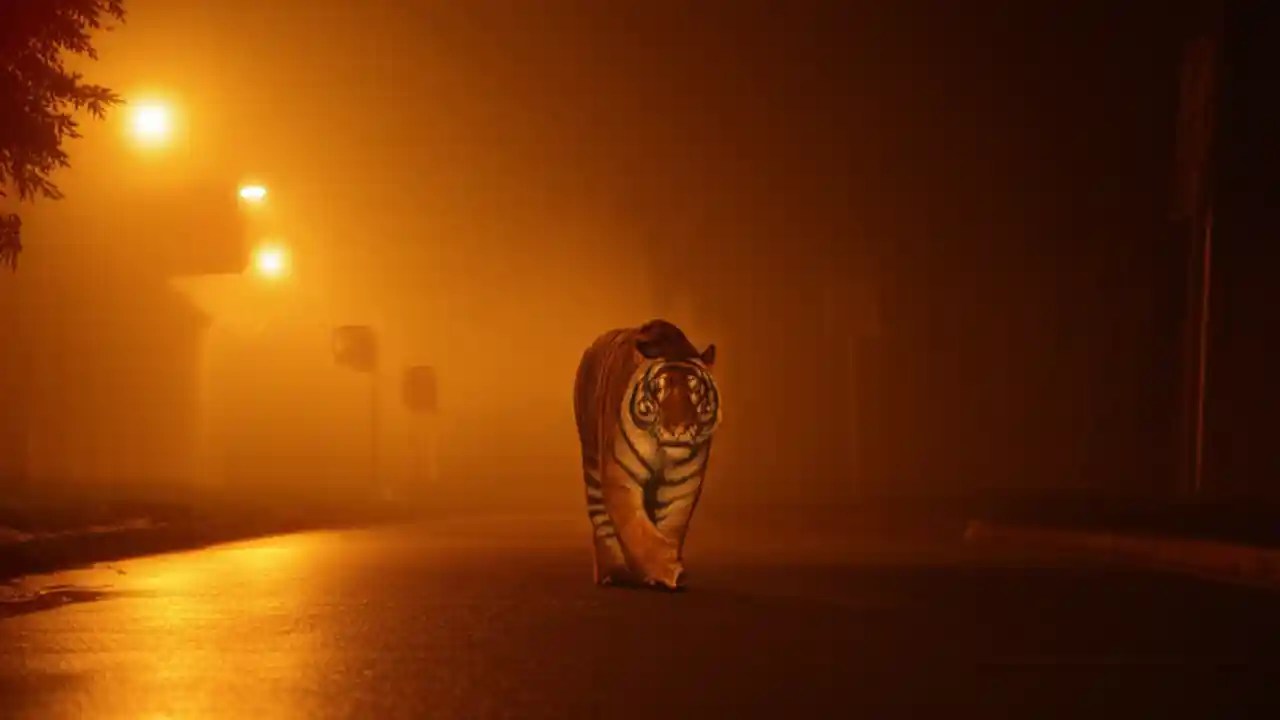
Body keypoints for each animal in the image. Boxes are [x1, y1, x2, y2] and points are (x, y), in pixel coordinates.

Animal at [573, 319, 722, 589]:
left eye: (694, 390)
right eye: (659, 390)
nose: (678, 430)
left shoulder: (681, 486)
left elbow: (670, 527)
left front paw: (661, 573)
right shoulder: (620, 478)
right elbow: (639, 531)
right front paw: (672, 571)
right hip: (591, 460)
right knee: (601, 517)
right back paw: (612, 572)